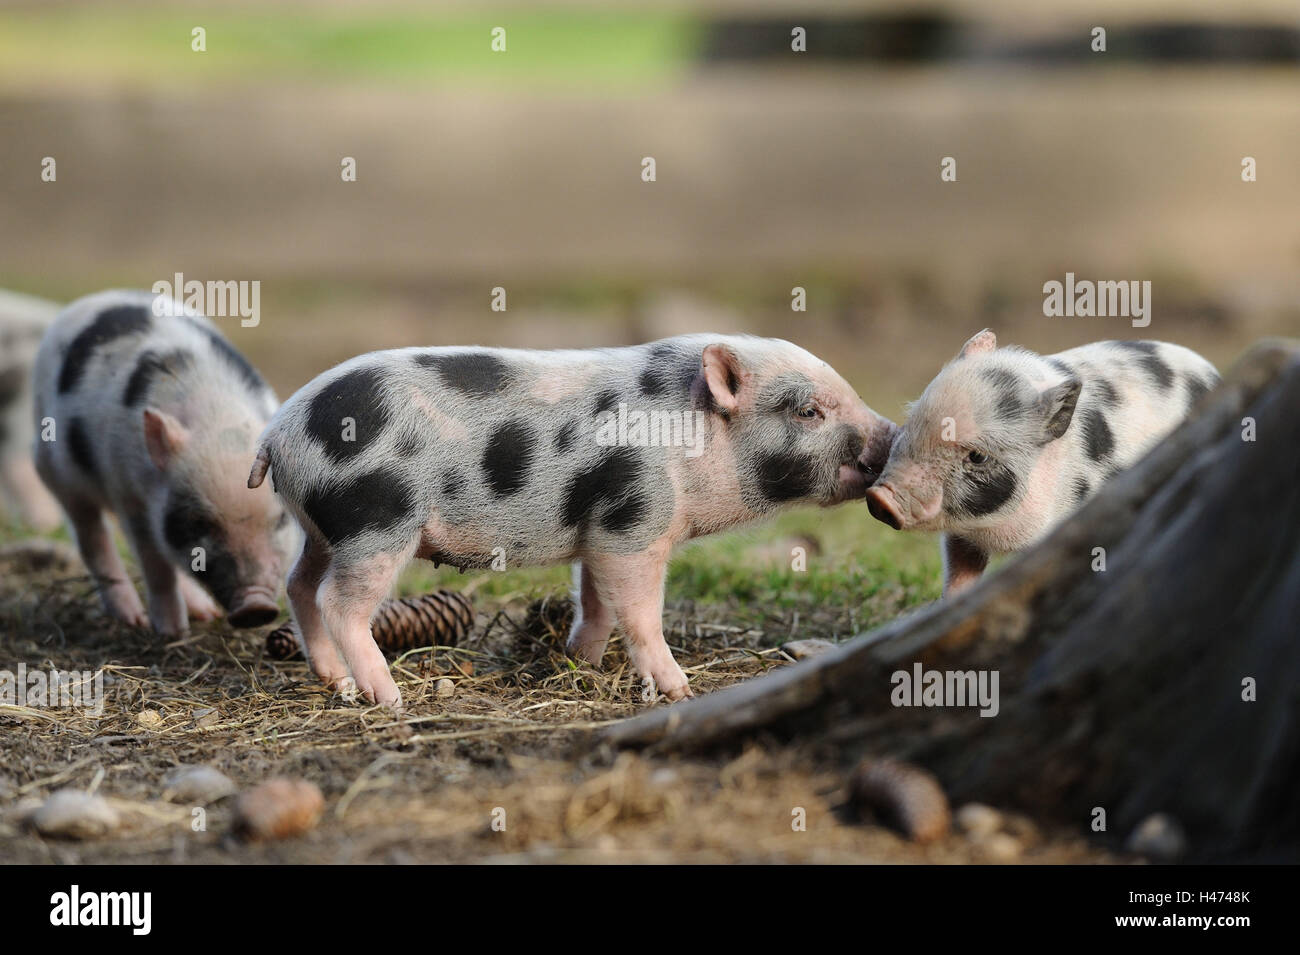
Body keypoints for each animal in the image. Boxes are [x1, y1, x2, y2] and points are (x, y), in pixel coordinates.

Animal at [32, 290, 298, 634]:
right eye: (199, 522)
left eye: (280, 520)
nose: (257, 606)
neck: (216, 417)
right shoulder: (131, 496)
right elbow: (155, 563)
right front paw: (171, 631)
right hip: (53, 468)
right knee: (92, 537)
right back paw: (133, 618)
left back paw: (204, 613)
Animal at [249, 335, 897, 707]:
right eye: (807, 411)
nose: (892, 434)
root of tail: (278, 433)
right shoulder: (634, 520)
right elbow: (639, 611)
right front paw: (678, 688)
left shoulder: (599, 532)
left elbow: (596, 601)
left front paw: (578, 660)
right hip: (377, 521)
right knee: (338, 602)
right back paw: (387, 698)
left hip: (323, 530)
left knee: (298, 587)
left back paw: (335, 682)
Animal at [864, 329, 1219, 596]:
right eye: (912, 422)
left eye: (978, 456)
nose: (880, 498)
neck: (994, 530)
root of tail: (1214, 373)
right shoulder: (963, 539)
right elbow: (960, 579)